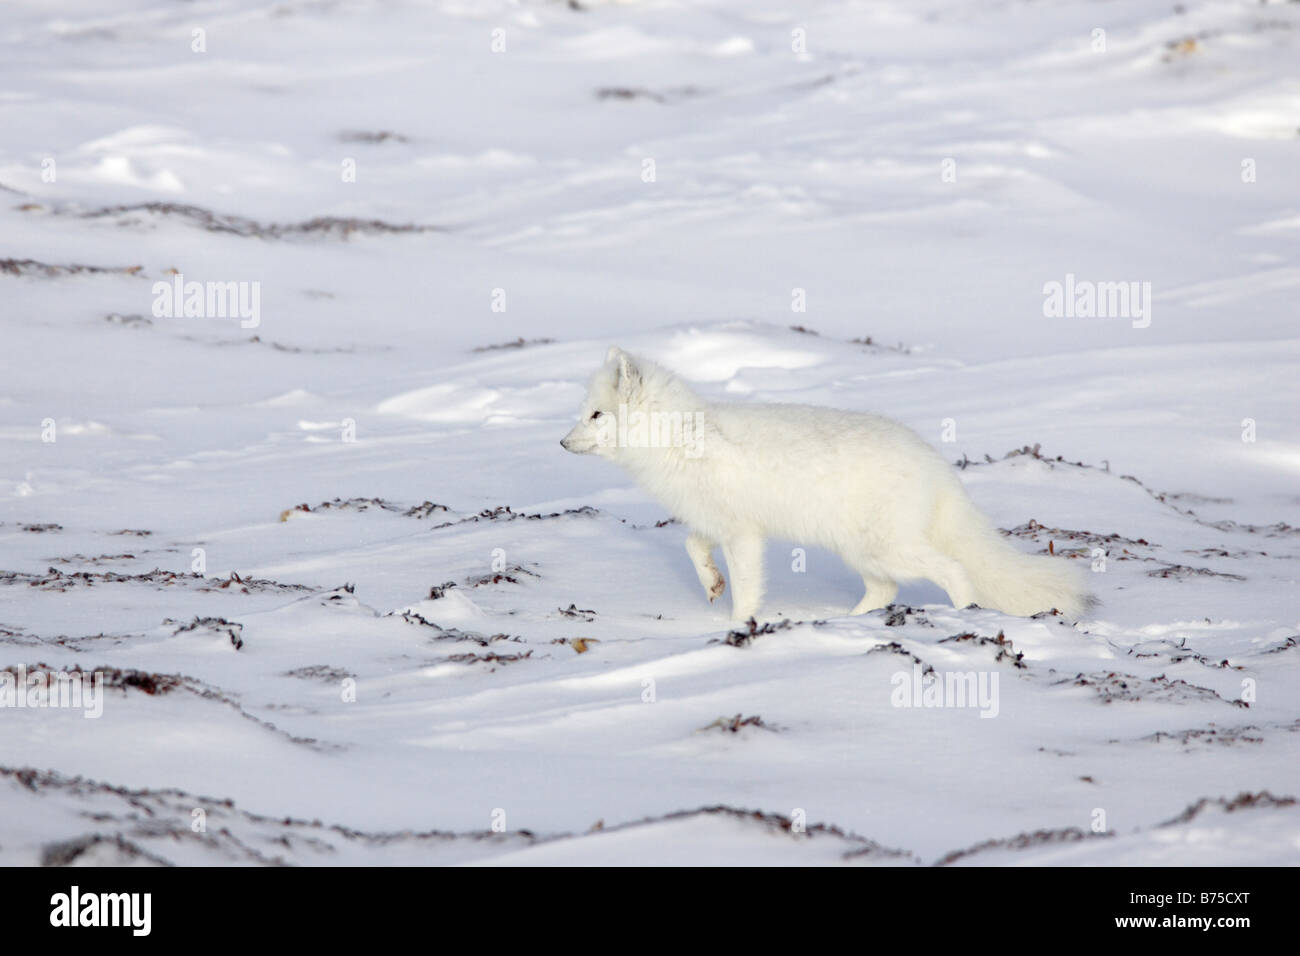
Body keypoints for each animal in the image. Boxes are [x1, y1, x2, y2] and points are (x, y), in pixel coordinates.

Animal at [561, 347, 1093, 621]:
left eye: (596, 414)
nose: (562, 443)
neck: (684, 438)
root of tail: (936, 466)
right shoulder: (718, 521)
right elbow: (693, 546)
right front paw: (712, 584)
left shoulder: (744, 535)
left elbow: (747, 591)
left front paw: (737, 631)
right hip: (862, 553)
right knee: (885, 590)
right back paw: (849, 626)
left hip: (884, 547)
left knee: (954, 573)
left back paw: (965, 616)